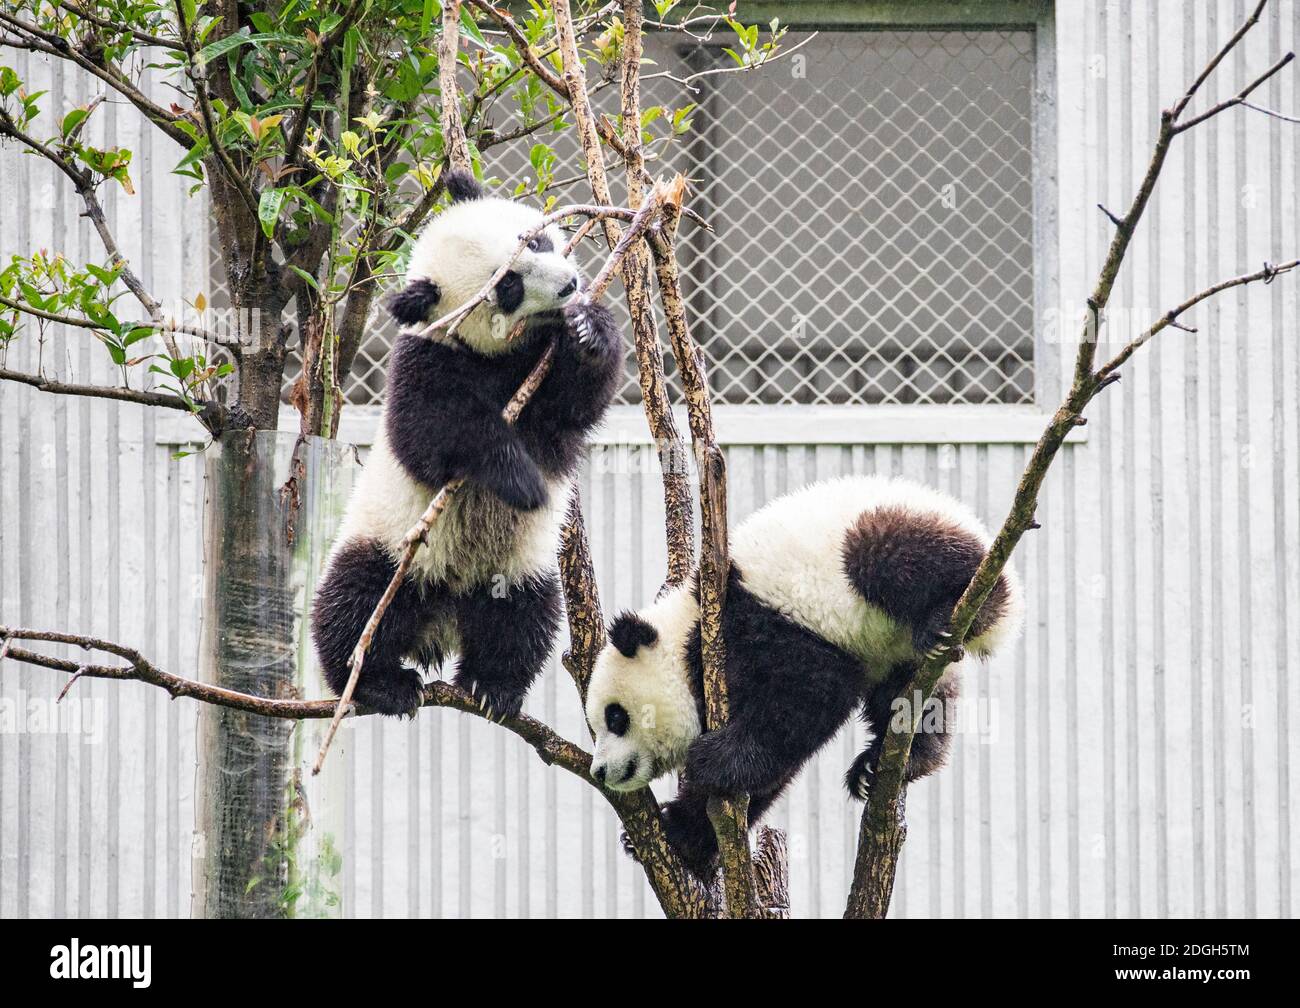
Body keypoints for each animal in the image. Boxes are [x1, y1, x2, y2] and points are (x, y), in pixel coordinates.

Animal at [311, 170, 623, 719]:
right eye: (508, 287)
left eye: (536, 241)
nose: (568, 285)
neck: (499, 353)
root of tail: (441, 623)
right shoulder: (423, 358)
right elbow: (434, 434)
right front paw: (522, 481)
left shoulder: (541, 371)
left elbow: (576, 407)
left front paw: (588, 330)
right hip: (388, 547)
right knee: (354, 601)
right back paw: (379, 683)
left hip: (520, 568)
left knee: (522, 619)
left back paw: (492, 686)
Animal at [584, 475, 1022, 879]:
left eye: (615, 717)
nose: (600, 772)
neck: (686, 635)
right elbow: (765, 780)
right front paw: (680, 832)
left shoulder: (753, 628)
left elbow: (806, 699)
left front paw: (712, 760)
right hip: (895, 655)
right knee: (912, 698)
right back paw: (885, 763)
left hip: (881, 540)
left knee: (893, 557)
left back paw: (946, 615)